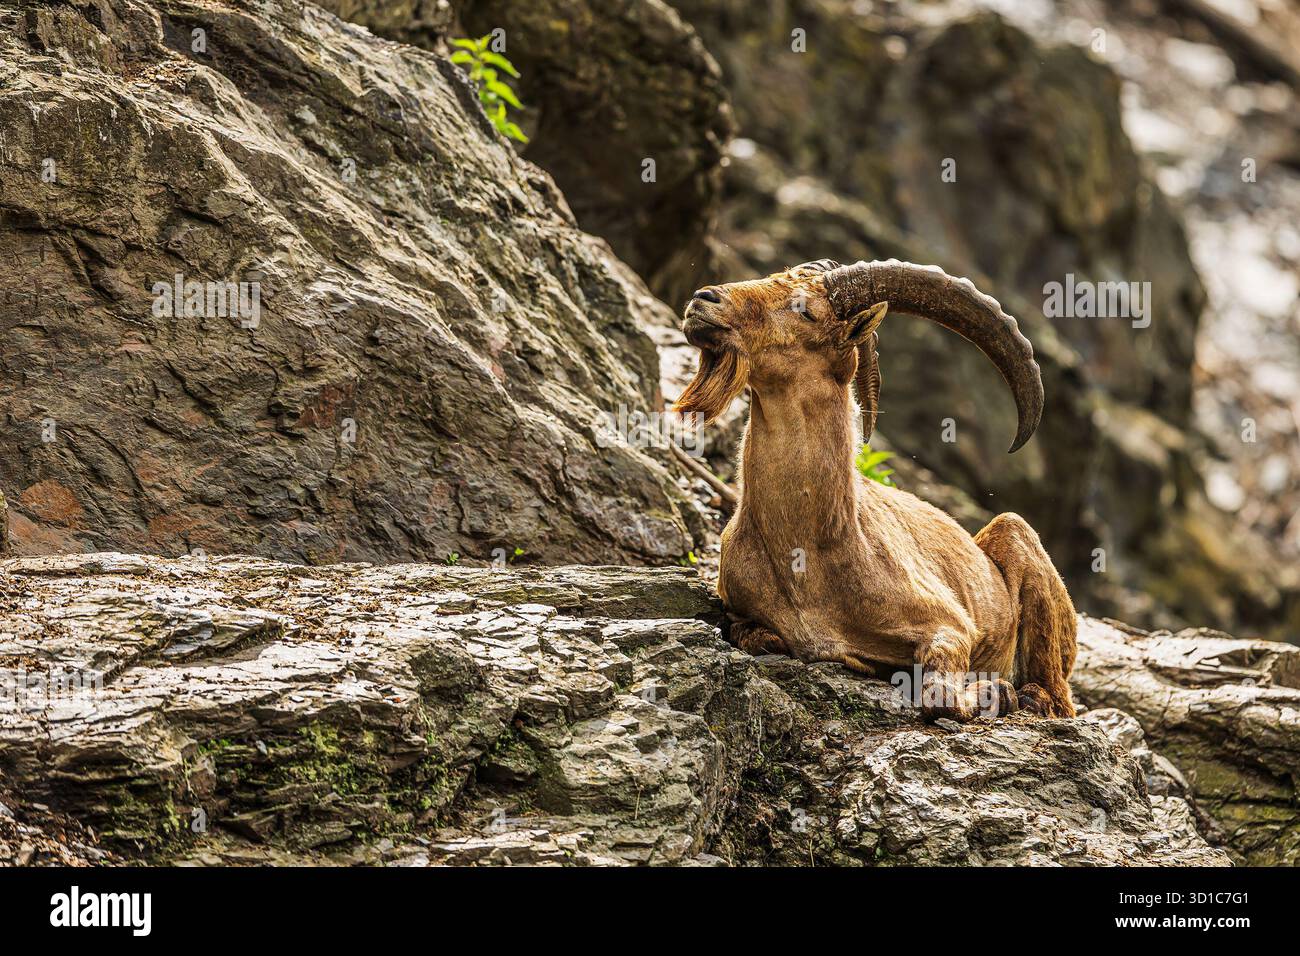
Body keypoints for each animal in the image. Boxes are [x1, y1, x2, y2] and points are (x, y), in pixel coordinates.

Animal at [674, 259, 1076, 720]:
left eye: (806, 311)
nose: (703, 298)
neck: (810, 551)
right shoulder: (739, 609)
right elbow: (752, 634)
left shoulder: (949, 622)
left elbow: (940, 687)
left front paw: (993, 692)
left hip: (1019, 542)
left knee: (1059, 695)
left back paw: (1029, 695)